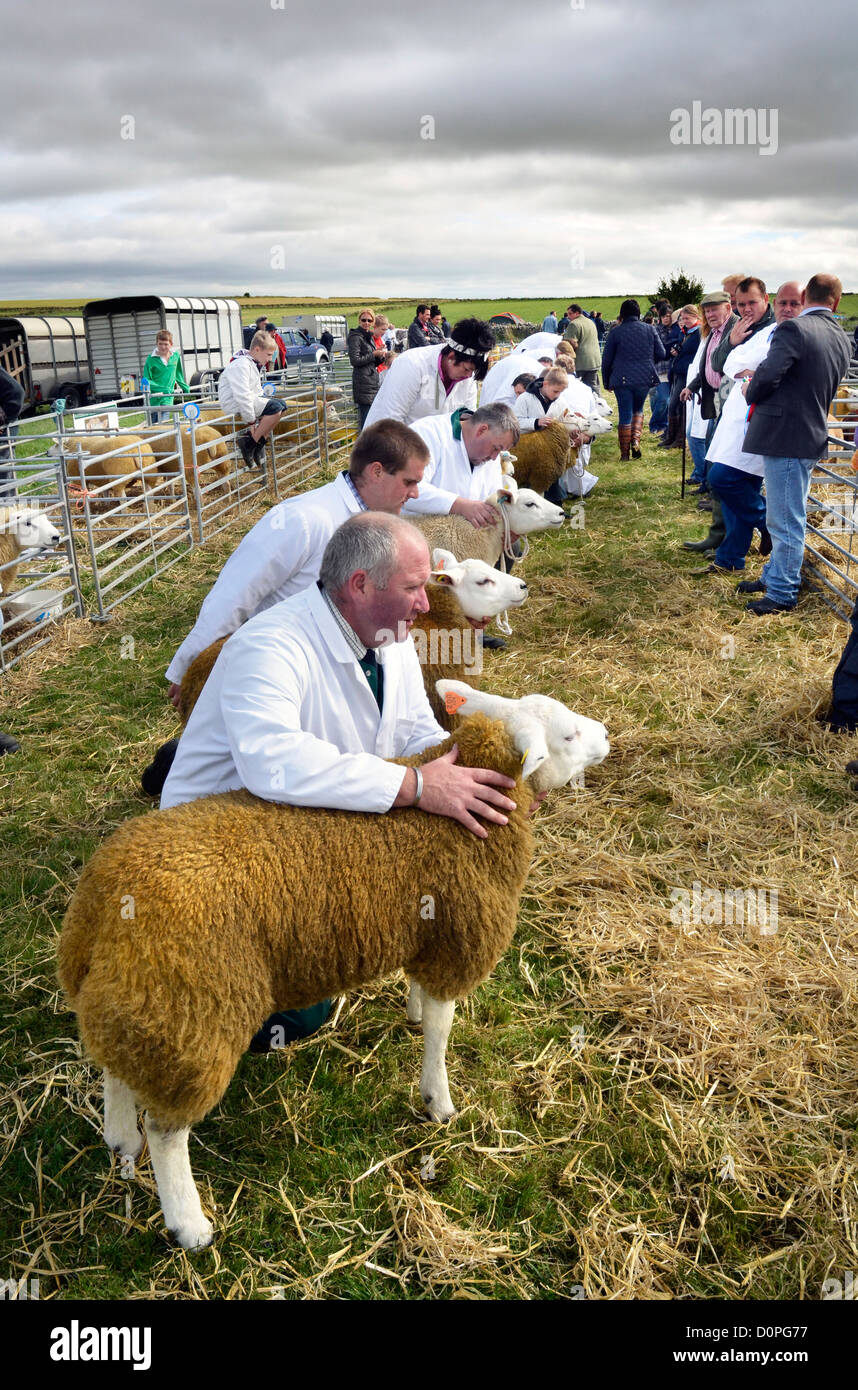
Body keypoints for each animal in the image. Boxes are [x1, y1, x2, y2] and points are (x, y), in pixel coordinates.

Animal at [57, 683, 610, 1250]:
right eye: (569, 735)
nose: (606, 735)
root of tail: (102, 907)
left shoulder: (430, 933)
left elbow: (422, 999)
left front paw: (412, 1013)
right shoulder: (458, 941)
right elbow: (441, 1031)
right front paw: (438, 1100)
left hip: (138, 1002)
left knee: (115, 1064)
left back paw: (120, 1138)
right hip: (192, 1016)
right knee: (168, 1131)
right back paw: (189, 1224)